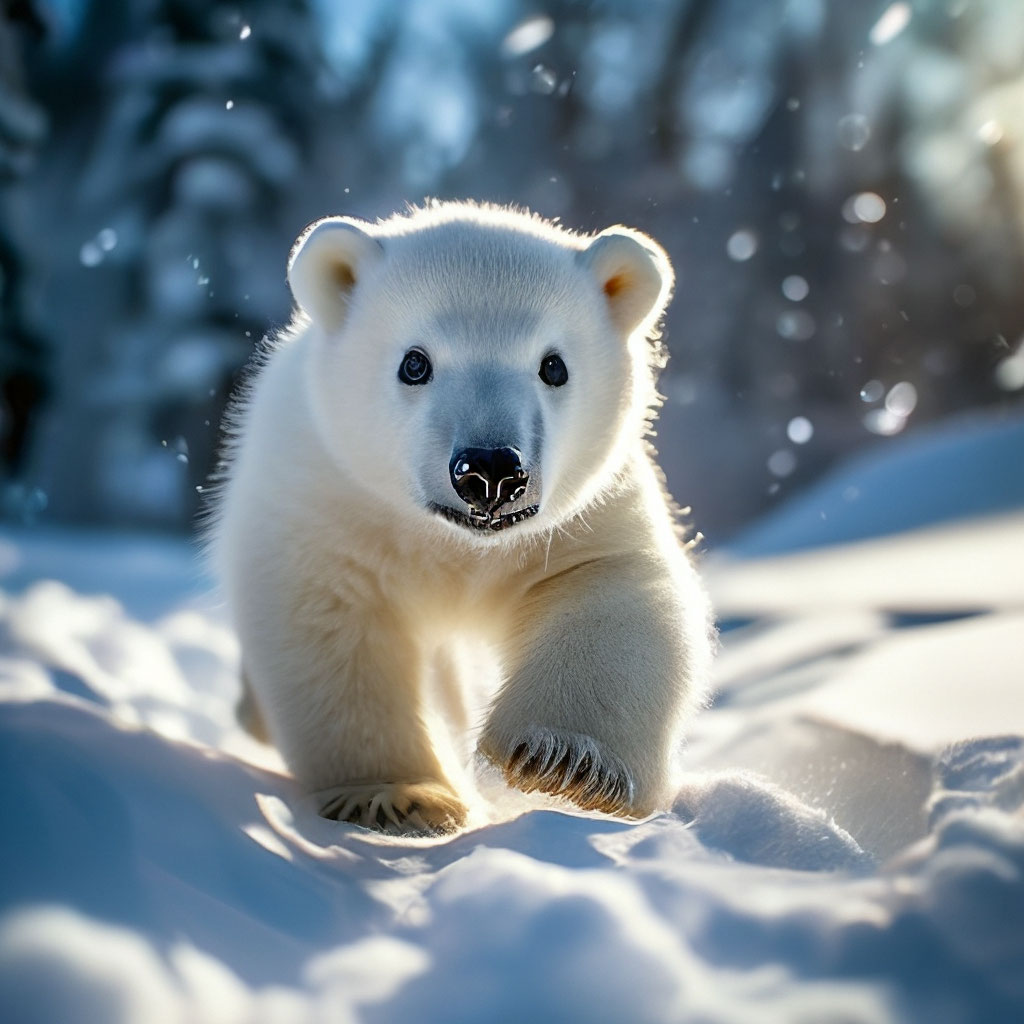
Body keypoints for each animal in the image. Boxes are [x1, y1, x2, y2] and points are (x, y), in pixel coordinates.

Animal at [210, 202, 714, 832]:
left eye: (554, 366)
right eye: (414, 363)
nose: (491, 471)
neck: (454, 543)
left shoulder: (585, 515)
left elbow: (612, 591)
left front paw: (566, 763)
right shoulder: (326, 499)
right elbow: (330, 624)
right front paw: (396, 795)